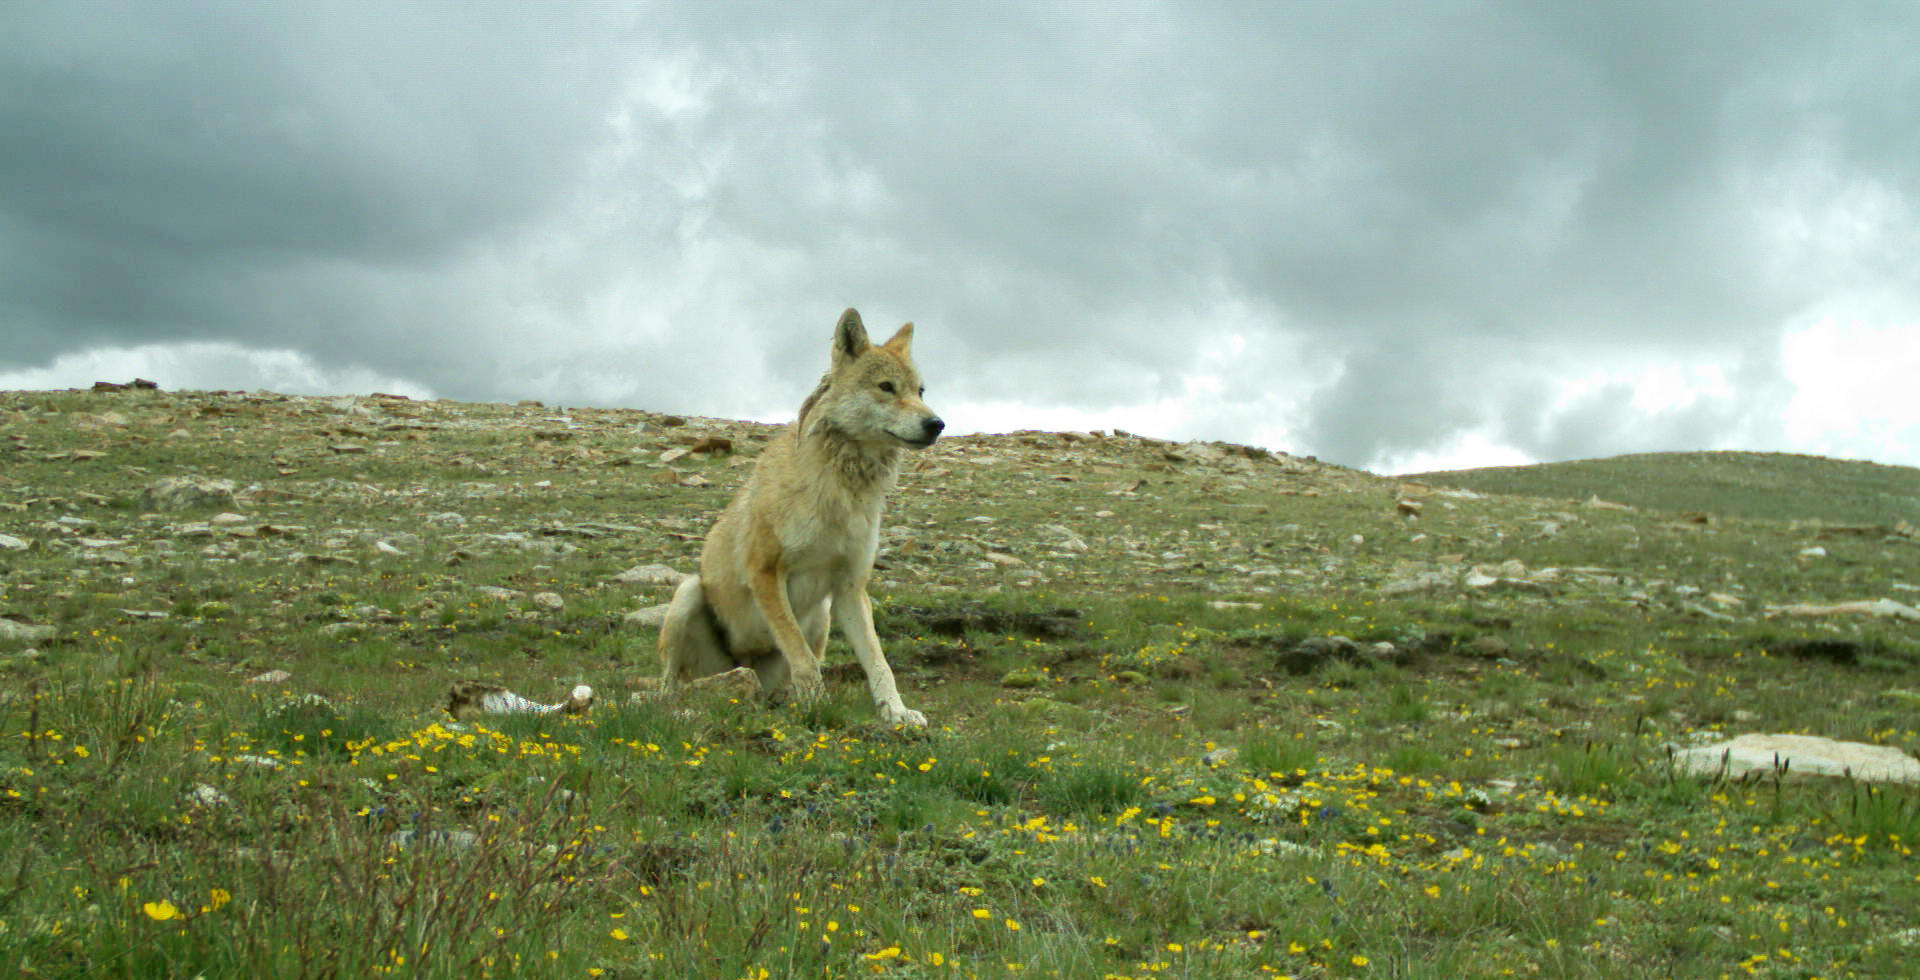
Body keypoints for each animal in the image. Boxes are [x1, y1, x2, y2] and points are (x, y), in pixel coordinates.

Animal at [653, 308, 944, 726]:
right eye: (886, 387)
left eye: (920, 392)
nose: (937, 424)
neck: (842, 492)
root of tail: (744, 666)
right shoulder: (764, 572)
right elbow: (803, 659)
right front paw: (819, 708)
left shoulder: (850, 588)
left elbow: (878, 663)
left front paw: (896, 714)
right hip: (688, 593)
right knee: (667, 684)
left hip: (820, 614)